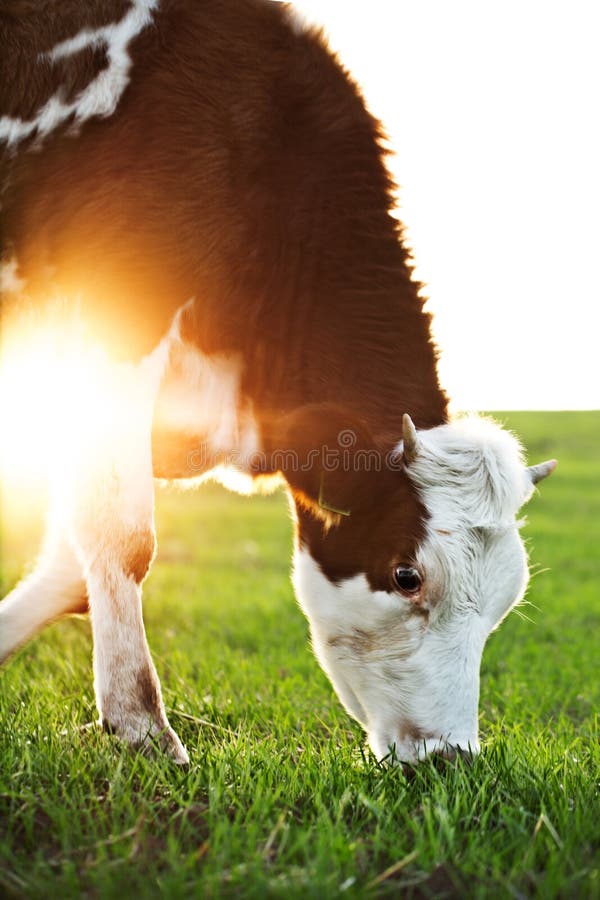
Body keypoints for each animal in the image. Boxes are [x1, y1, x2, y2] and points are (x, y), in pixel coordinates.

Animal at [0, 0, 555, 766]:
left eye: (507, 600)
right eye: (406, 575)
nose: (450, 758)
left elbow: (64, 564)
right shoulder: (115, 324)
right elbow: (122, 535)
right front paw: (141, 728)